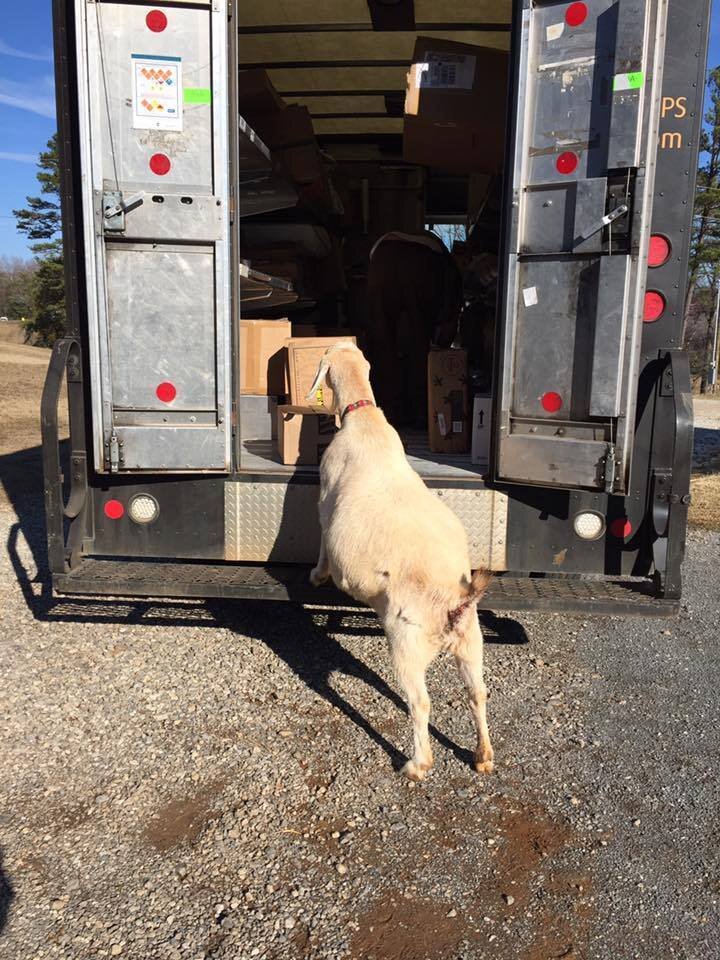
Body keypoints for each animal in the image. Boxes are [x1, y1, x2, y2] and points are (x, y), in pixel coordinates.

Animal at [306, 342, 494, 780]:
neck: (364, 420)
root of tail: (453, 604)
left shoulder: (324, 498)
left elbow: (321, 534)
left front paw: (317, 575)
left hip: (406, 640)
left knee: (420, 702)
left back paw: (417, 764)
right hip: (471, 639)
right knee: (477, 692)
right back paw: (483, 756)